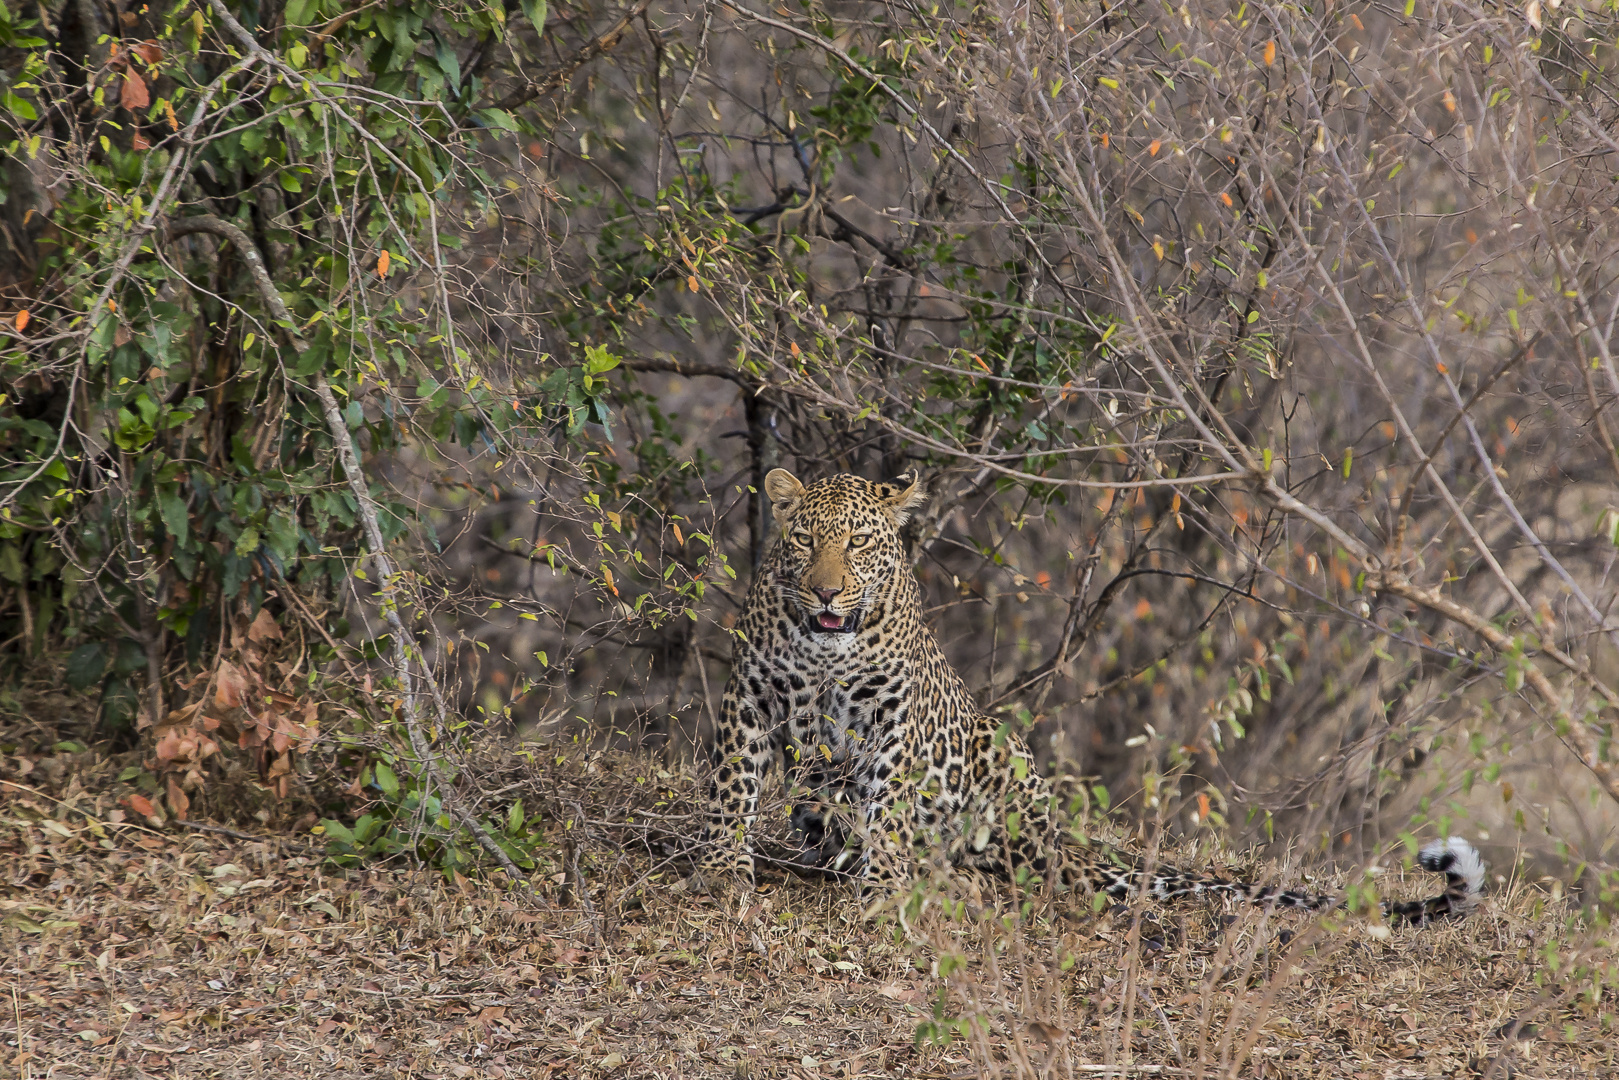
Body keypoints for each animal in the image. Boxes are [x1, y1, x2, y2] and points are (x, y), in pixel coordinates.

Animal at [696, 469, 1483, 926]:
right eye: (803, 540)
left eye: (859, 543)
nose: (827, 591)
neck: (822, 646)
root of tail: (1056, 837)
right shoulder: (747, 698)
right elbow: (732, 789)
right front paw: (721, 870)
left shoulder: (895, 723)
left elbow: (888, 807)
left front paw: (884, 886)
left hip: (1000, 752)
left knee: (1006, 865)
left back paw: (941, 872)